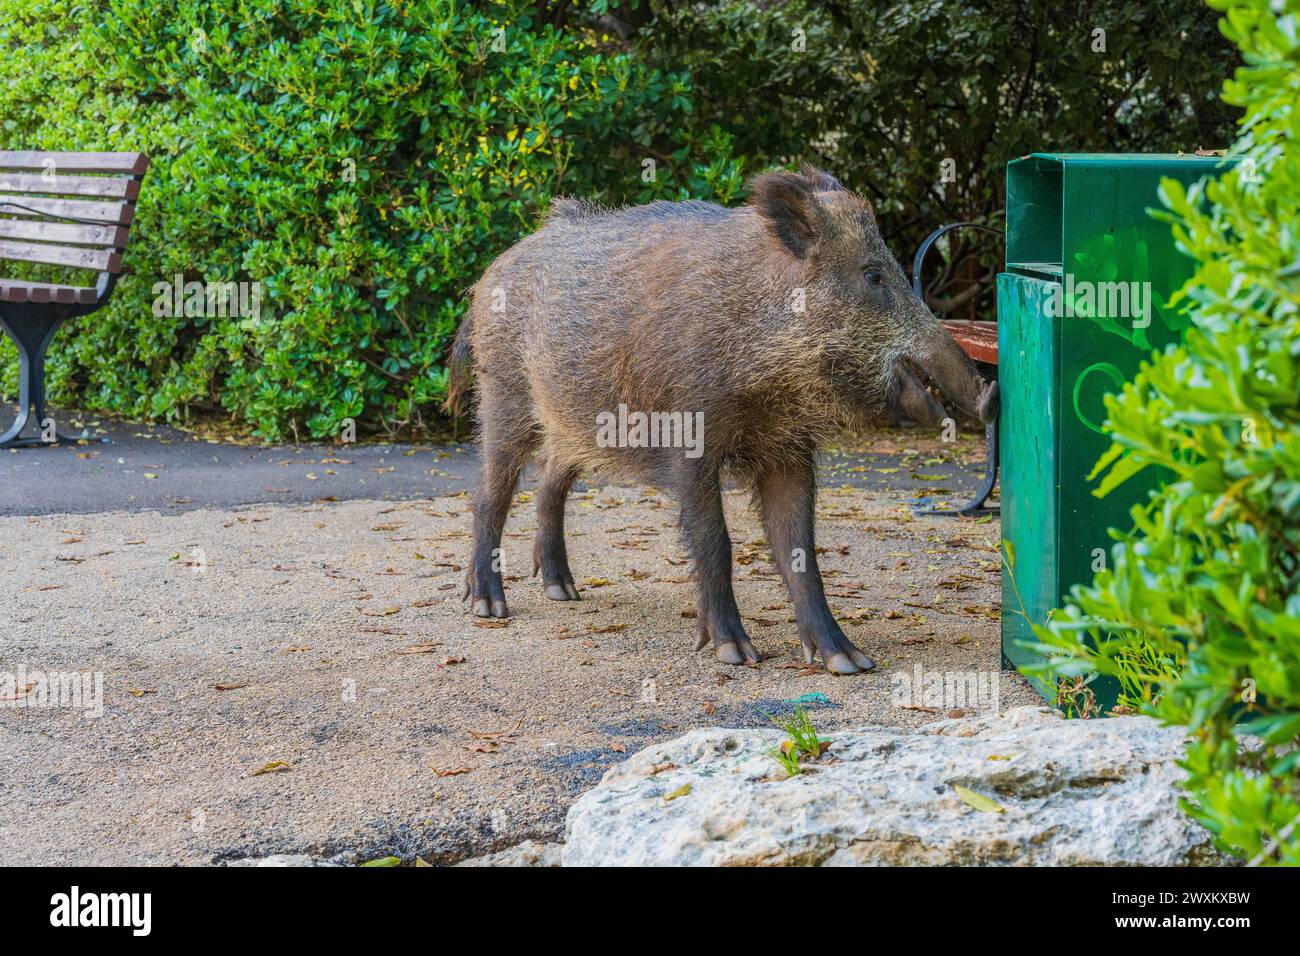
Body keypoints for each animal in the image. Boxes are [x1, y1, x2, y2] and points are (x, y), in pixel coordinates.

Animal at [446, 165, 997, 674]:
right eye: (873, 275)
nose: (991, 392)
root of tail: (494, 269)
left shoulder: (789, 449)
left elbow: (801, 550)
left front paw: (849, 662)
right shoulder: (688, 438)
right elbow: (716, 543)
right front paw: (737, 655)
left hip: (573, 419)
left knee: (550, 483)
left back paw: (564, 591)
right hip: (504, 394)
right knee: (491, 492)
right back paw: (488, 606)